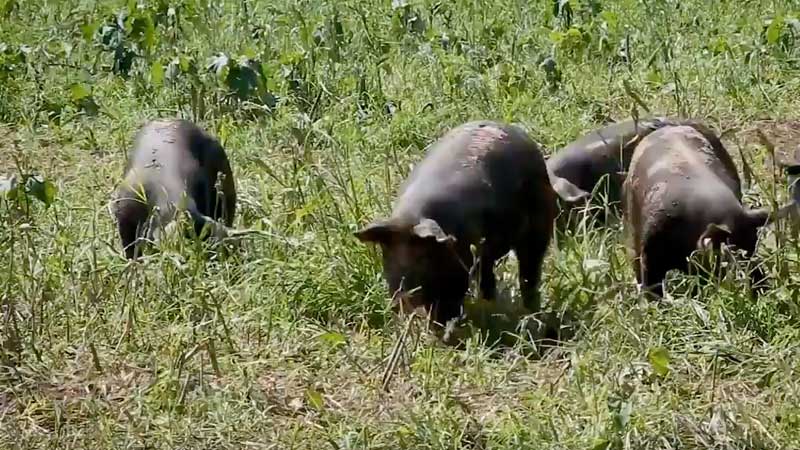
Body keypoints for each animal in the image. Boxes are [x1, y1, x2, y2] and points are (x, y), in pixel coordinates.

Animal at [355, 120, 557, 325]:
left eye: (422, 258)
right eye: (390, 255)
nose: (407, 294)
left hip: (540, 226)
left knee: (529, 272)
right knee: (489, 279)